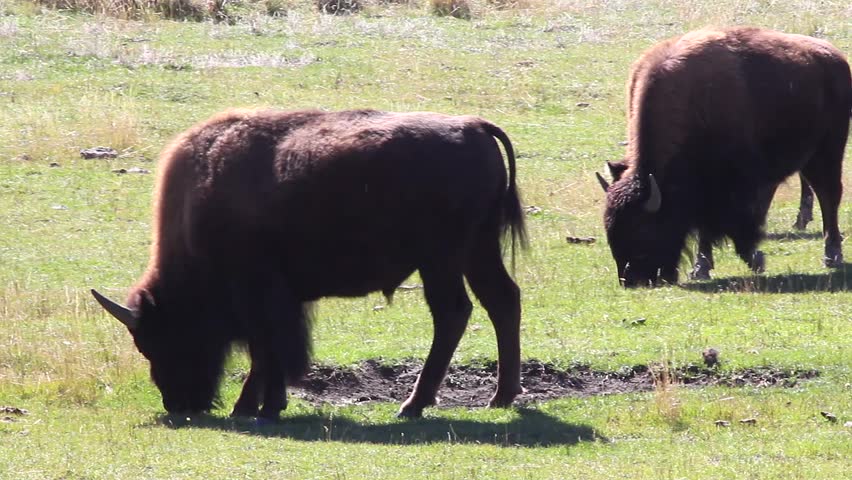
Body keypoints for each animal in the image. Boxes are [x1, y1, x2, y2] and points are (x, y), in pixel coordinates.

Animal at [91, 108, 527, 419]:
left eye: (162, 339)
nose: (179, 404)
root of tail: (473, 126)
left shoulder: (259, 293)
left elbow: (268, 347)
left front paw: (258, 408)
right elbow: (269, 349)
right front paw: (260, 405)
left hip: (442, 260)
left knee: (453, 312)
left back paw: (414, 405)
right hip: (477, 251)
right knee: (502, 301)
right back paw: (500, 398)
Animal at [598, 27, 850, 287]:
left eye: (643, 228)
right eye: (610, 227)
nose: (631, 280)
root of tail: (834, 57)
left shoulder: (726, 185)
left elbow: (718, 225)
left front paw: (744, 260)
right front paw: (704, 268)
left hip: (827, 151)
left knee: (828, 196)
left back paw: (832, 255)